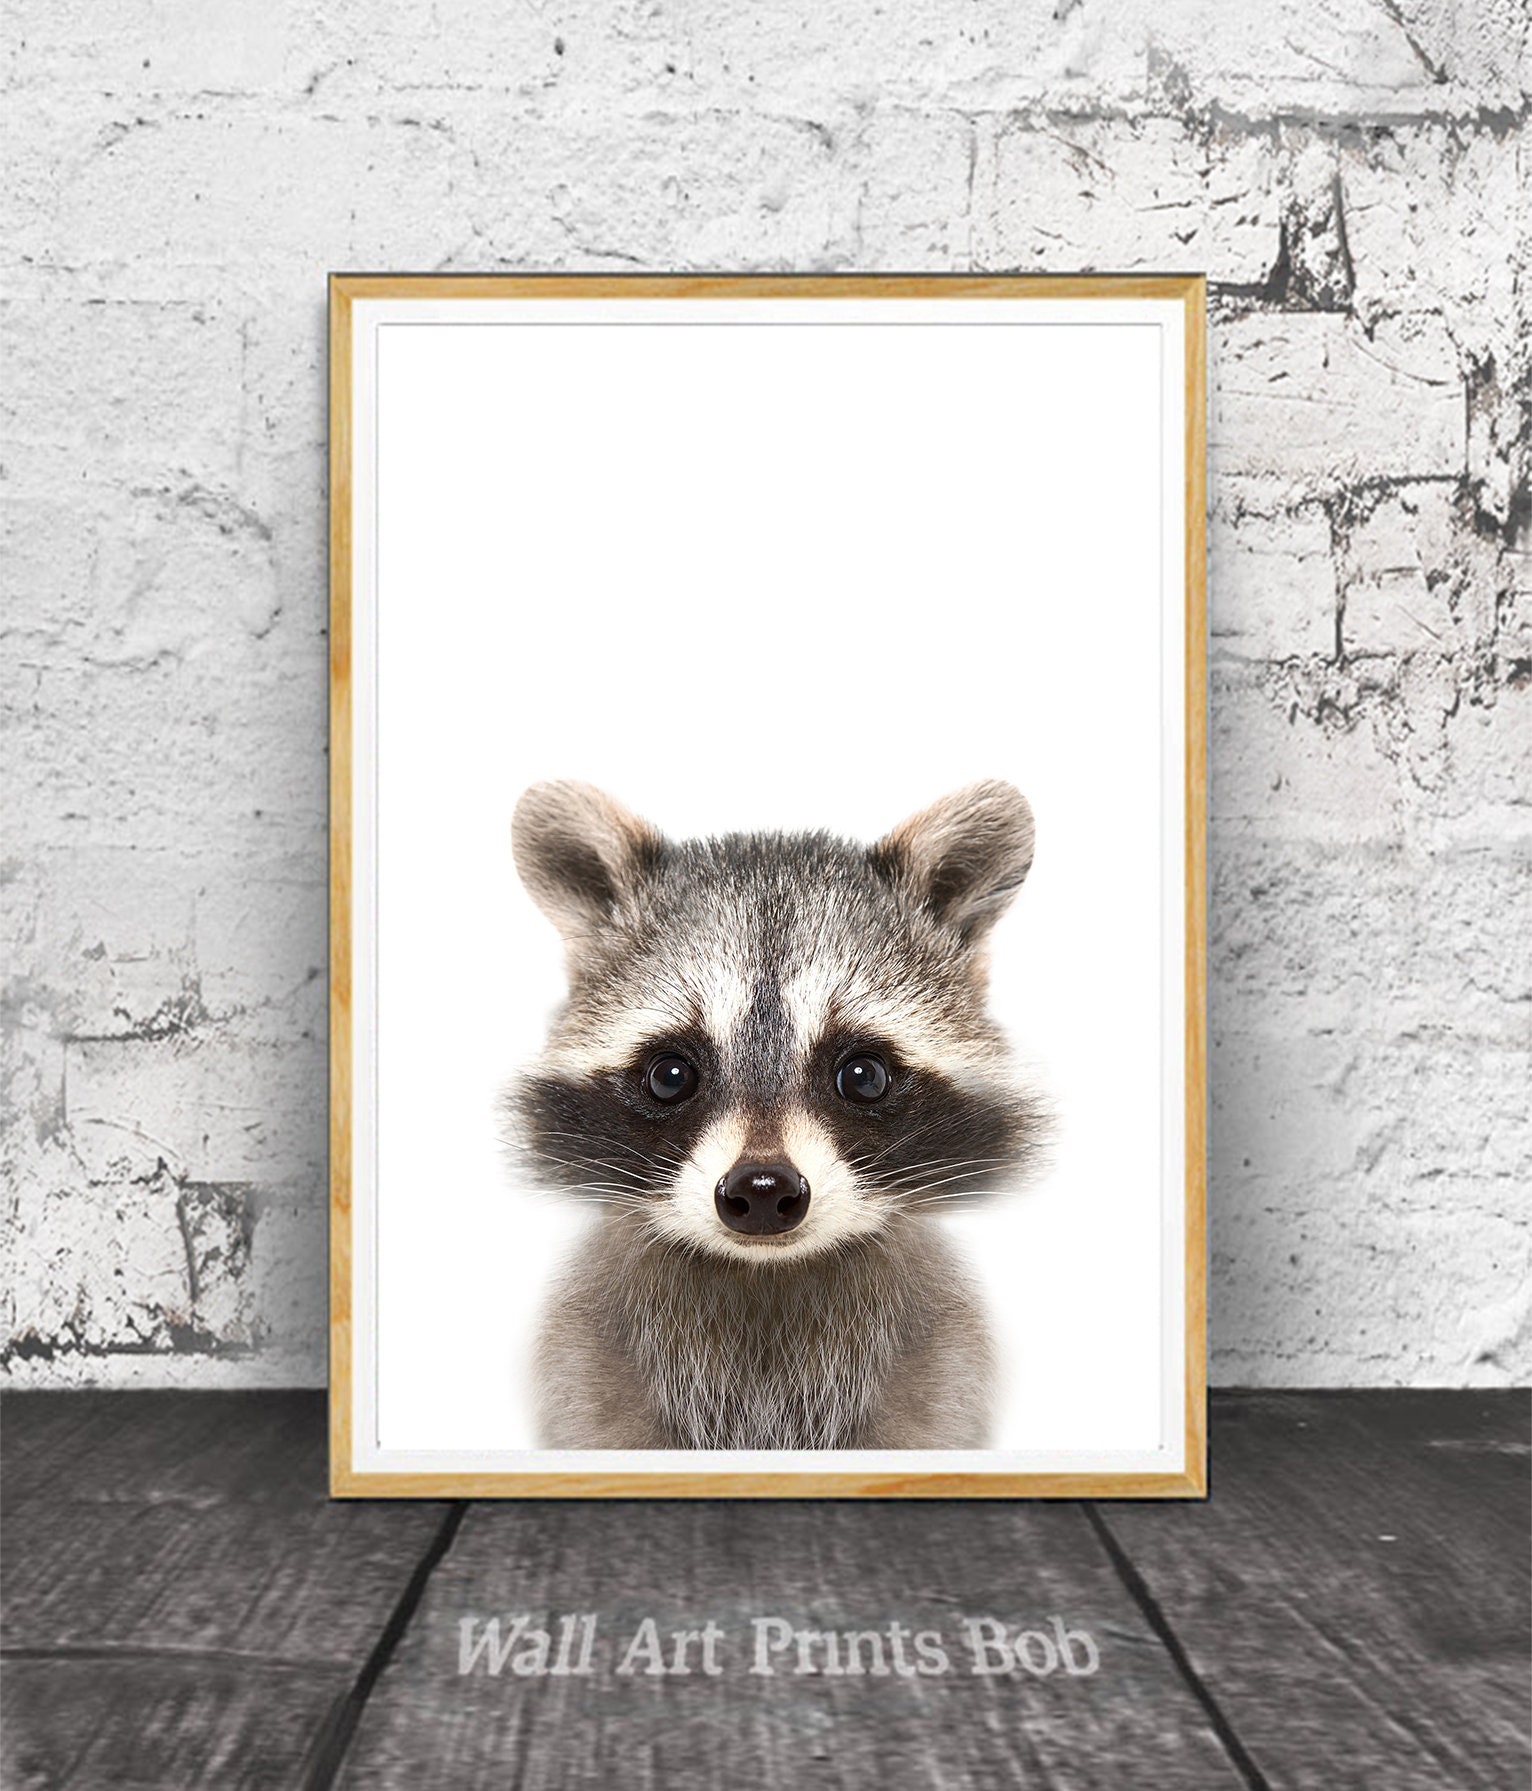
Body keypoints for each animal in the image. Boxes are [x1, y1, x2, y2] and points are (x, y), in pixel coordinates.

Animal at [505, 779, 1046, 1451]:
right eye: (670, 1076)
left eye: (863, 1076)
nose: (762, 1188)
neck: (765, 1277)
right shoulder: (591, 1368)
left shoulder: (939, 1370)